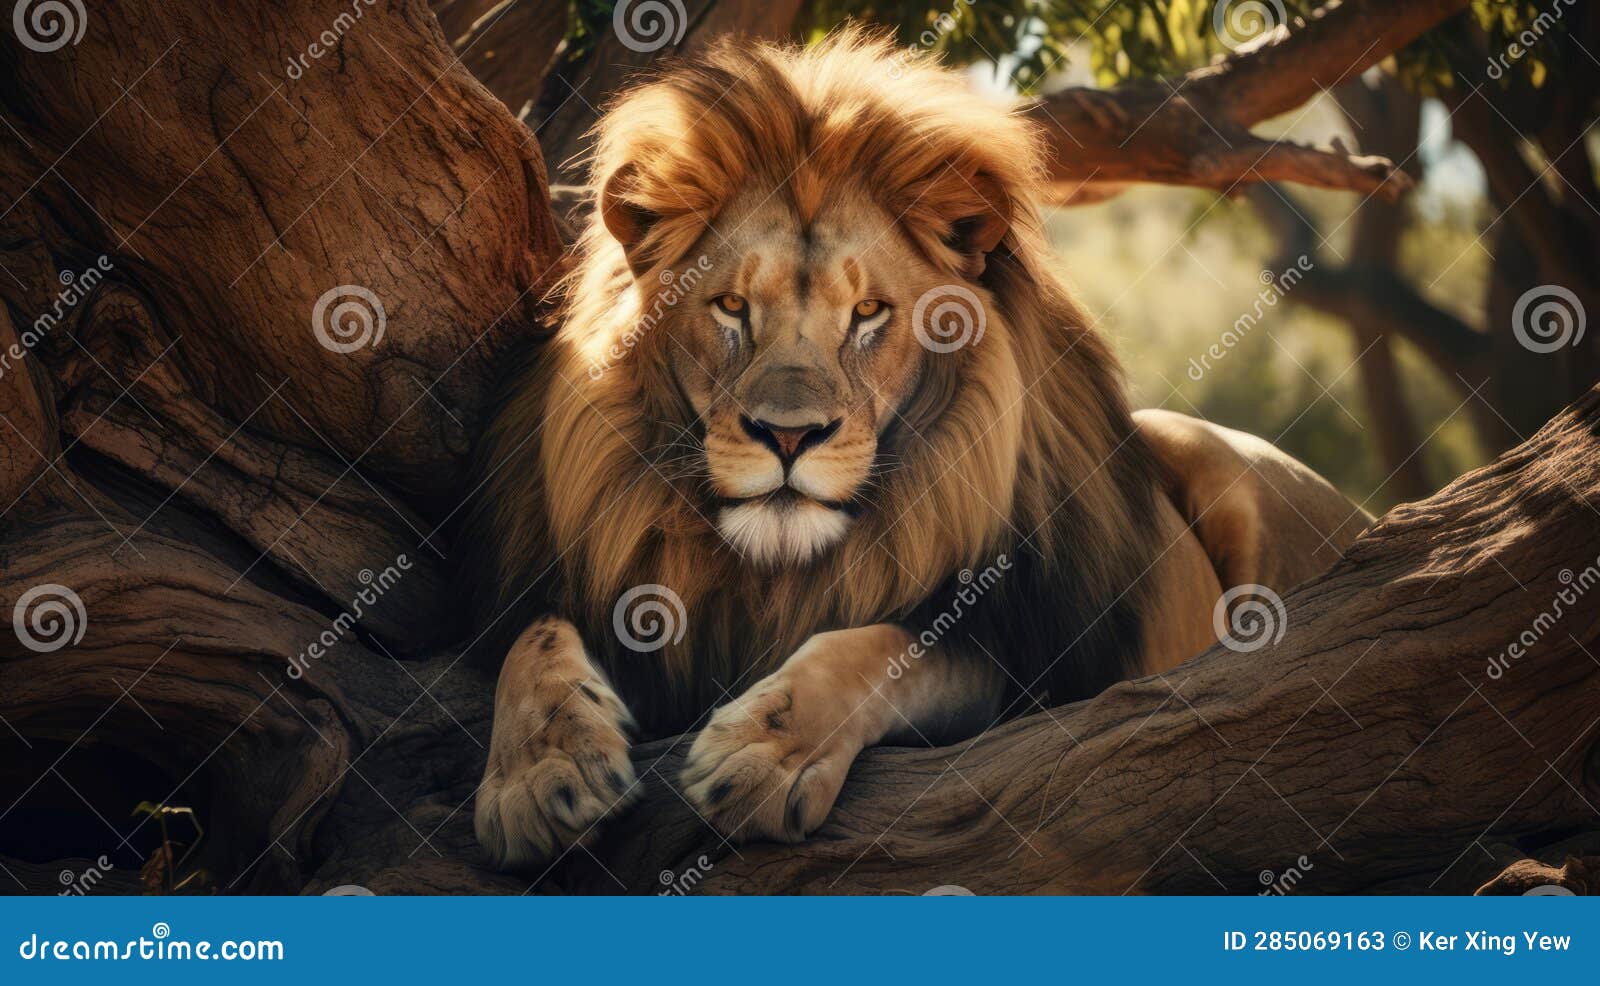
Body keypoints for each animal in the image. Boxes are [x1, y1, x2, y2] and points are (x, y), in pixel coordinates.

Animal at [459, 32, 1368, 869]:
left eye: (868, 314)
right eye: (729, 307)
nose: (788, 436)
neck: (773, 574)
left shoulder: (1023, 663)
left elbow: (879, 647)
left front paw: (763, 753)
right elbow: (532, 638)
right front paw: (541, 777)